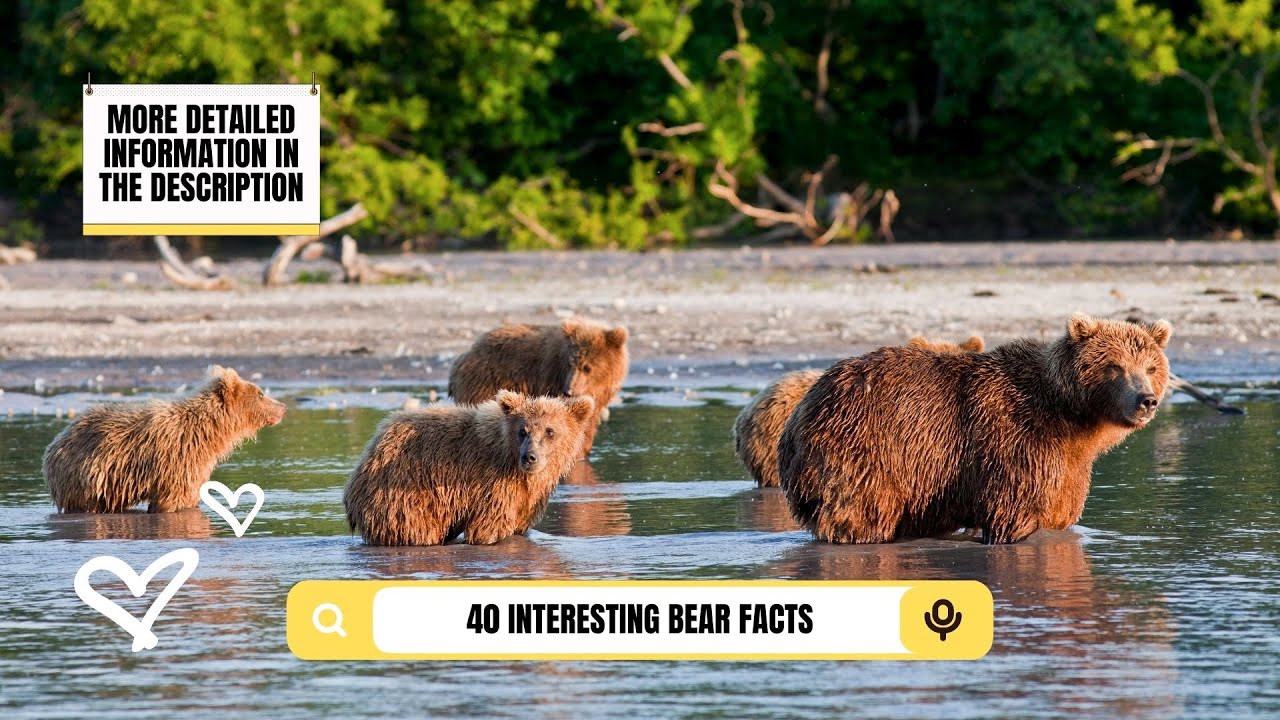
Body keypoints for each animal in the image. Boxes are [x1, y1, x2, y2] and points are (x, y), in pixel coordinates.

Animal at [43, 365, 286, 513]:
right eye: (261, 393)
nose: (283, 407)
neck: (209, 434)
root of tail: (55, 443)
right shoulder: (178, 460)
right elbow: (173, 500)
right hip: (88, 477)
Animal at [343, 390, 595, 546]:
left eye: (550, 431)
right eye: (522, 431)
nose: (529, 457)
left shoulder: (527, 498)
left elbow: (520, 525)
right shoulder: (491, 486)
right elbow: (489, 529)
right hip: (404, 495)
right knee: (418, 530)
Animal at [777, 314, 1172, 544]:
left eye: (1151, 367)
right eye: (1115, 365)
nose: (1146, 400)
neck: (1070, 417)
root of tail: (802, 411)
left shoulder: (1068, 466)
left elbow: (1059, 512)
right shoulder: (1017, 443)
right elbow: (1015, 515)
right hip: (868, 449)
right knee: (861, 513)